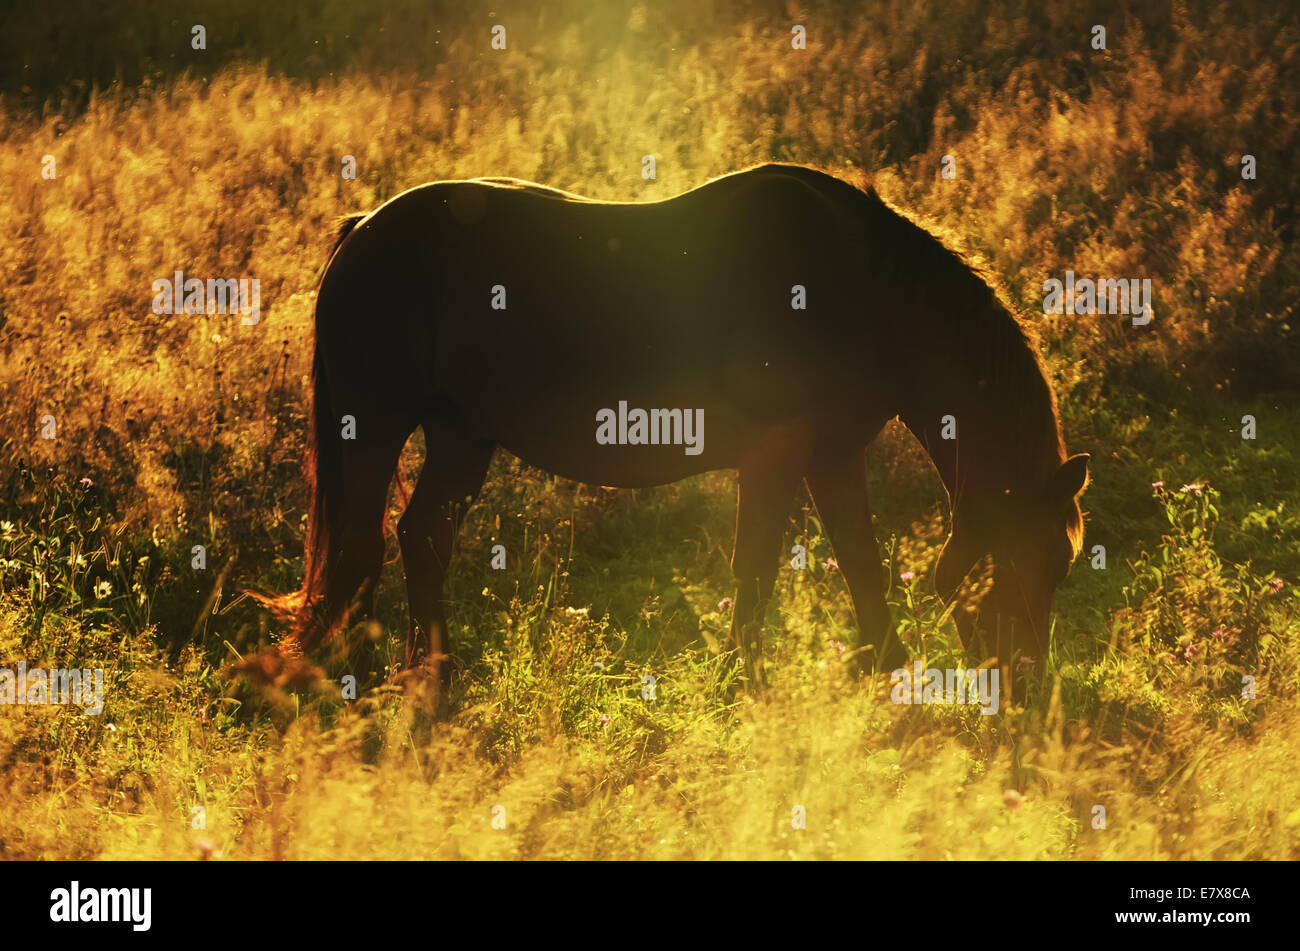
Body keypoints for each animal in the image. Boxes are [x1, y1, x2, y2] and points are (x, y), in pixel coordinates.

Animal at [265, 162, 1089, 696]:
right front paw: (740, 682)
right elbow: (754, 566)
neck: (860, 291)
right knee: (361, 549)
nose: (1026, 688)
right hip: (374, 428)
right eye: (1046, 559)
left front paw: (888, 667)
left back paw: (432, 678)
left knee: (422, 539)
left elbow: (861, 560)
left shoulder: (831, 455)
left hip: (463, 434)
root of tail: (362, 230)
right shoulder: (775, 453)